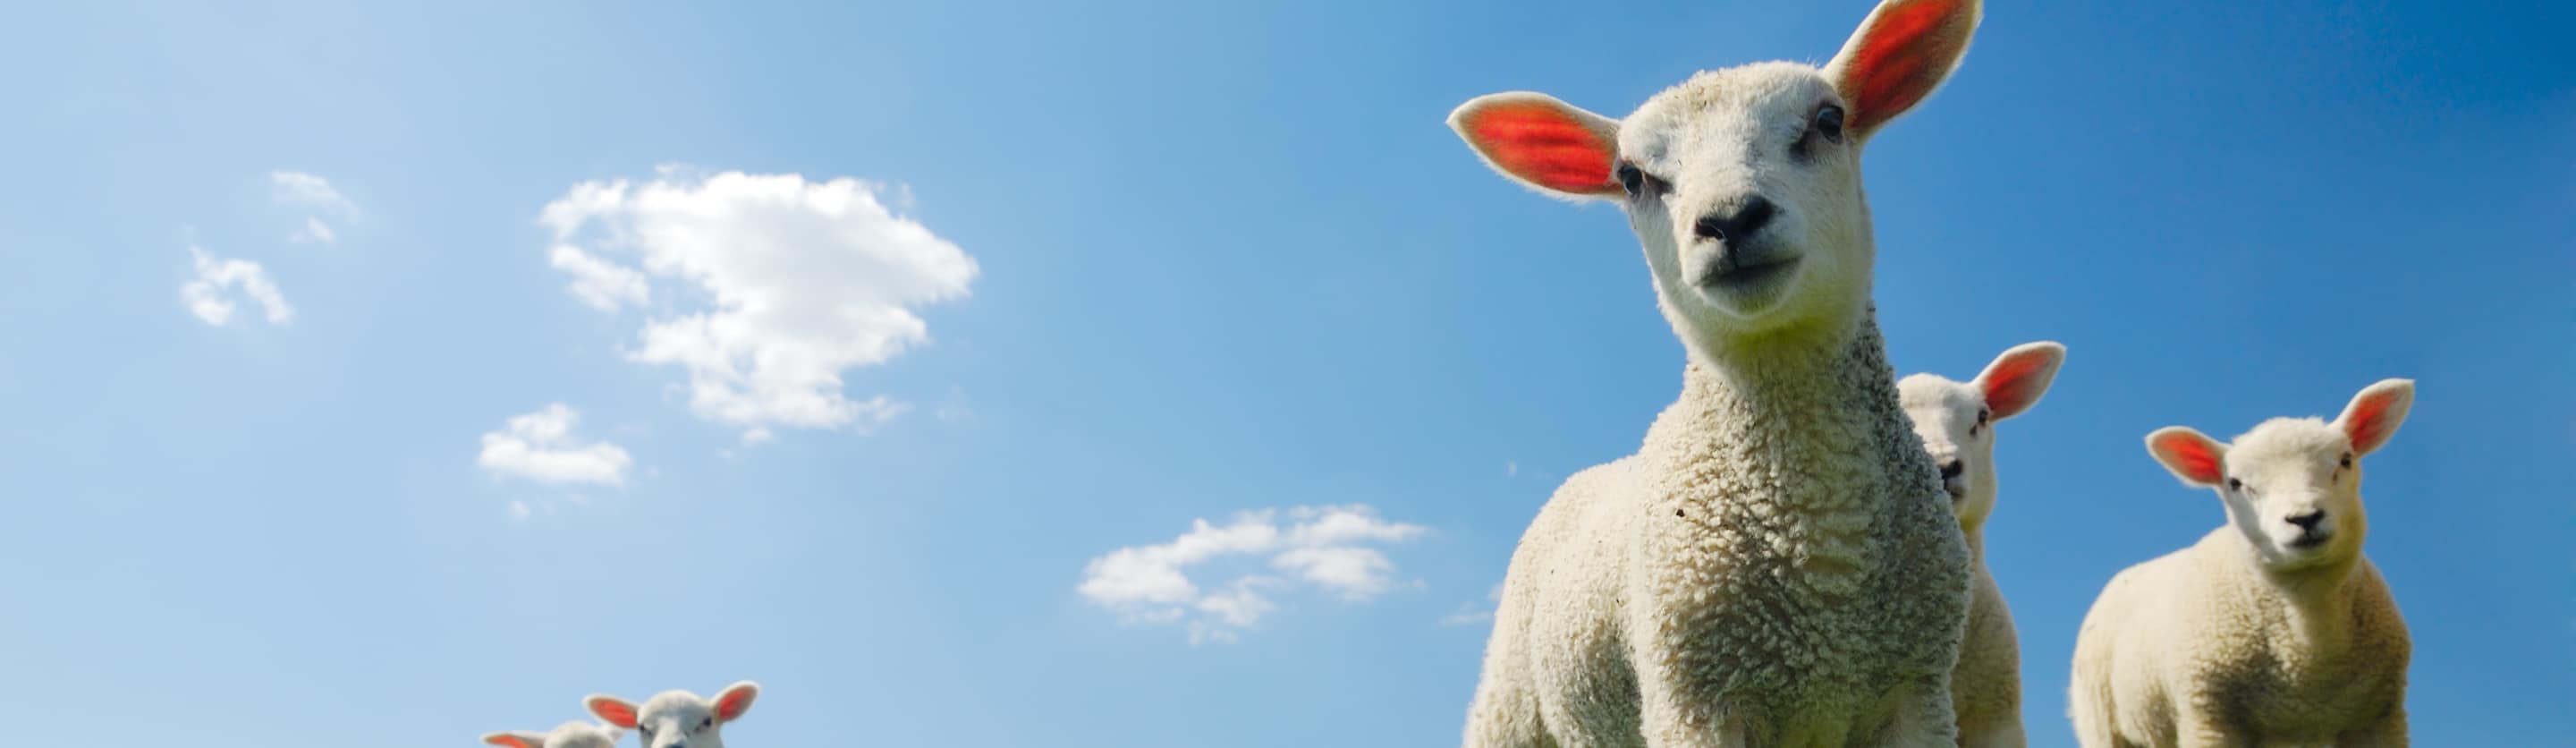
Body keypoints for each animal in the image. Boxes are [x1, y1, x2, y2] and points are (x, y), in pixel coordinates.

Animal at [1446, 0, 1988, 744]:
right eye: (1632, 178)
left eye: (1828, 121)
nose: (1730, 220)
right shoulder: (1695, 694)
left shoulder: (1918, 688)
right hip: (1514, 705)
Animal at [2069, 379, 2417, 747]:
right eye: (2235, 483)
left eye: (2345, 460)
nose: (2304, 518)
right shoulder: (2211, 717)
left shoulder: (2379, 715)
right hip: (2103, 723)